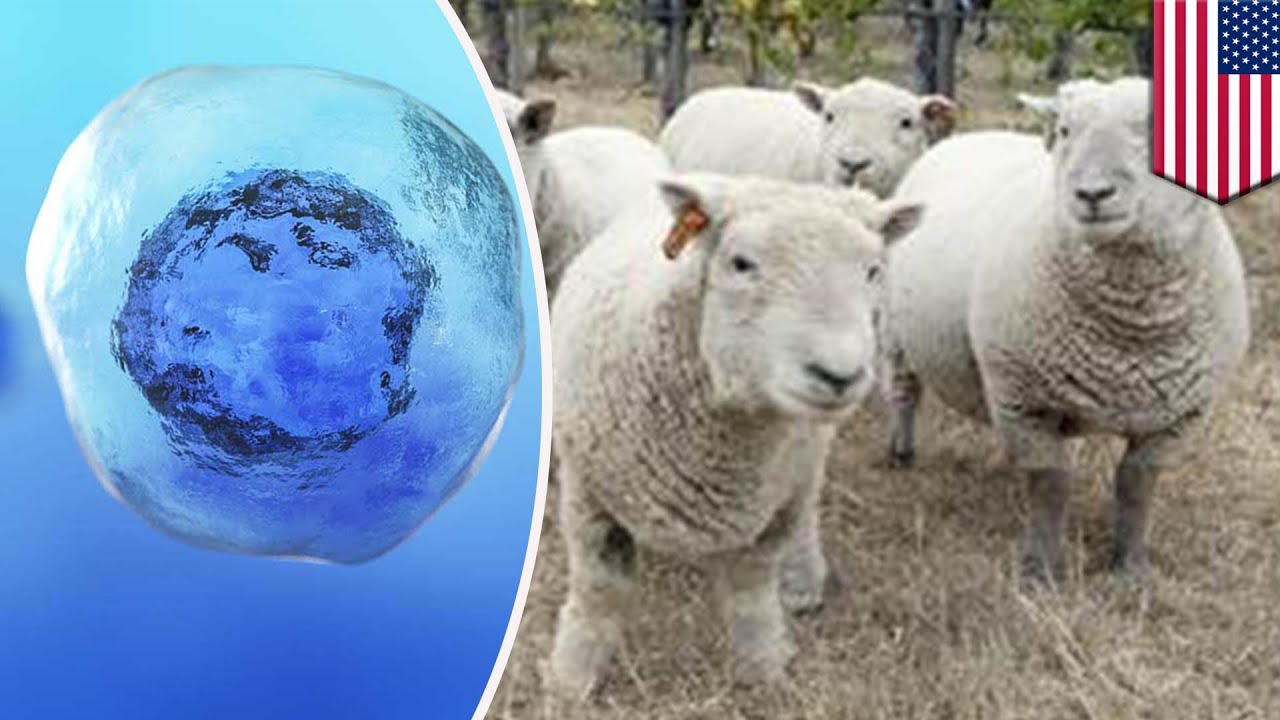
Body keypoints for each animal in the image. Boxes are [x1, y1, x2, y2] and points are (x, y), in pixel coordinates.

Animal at [548, 172, 923, 697]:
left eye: (872, 271)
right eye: (741, 263)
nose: (840, 376)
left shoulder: (776, 505)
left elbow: (752, 591)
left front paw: (764, 670)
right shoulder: (590, 497)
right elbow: (600, 590)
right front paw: (571, 681)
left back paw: (803, 581)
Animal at [883, 77, 1250, 580]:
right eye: (1064, 130)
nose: (1092, 193)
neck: (1130, 331)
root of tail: (973, 135)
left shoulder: (1180, 415)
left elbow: (1137, 483)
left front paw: (1131, 569)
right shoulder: (1023, 397)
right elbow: (1051, 482)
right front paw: (1042, 570)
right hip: (895, 332)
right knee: (904, 391)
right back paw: (900, 453)